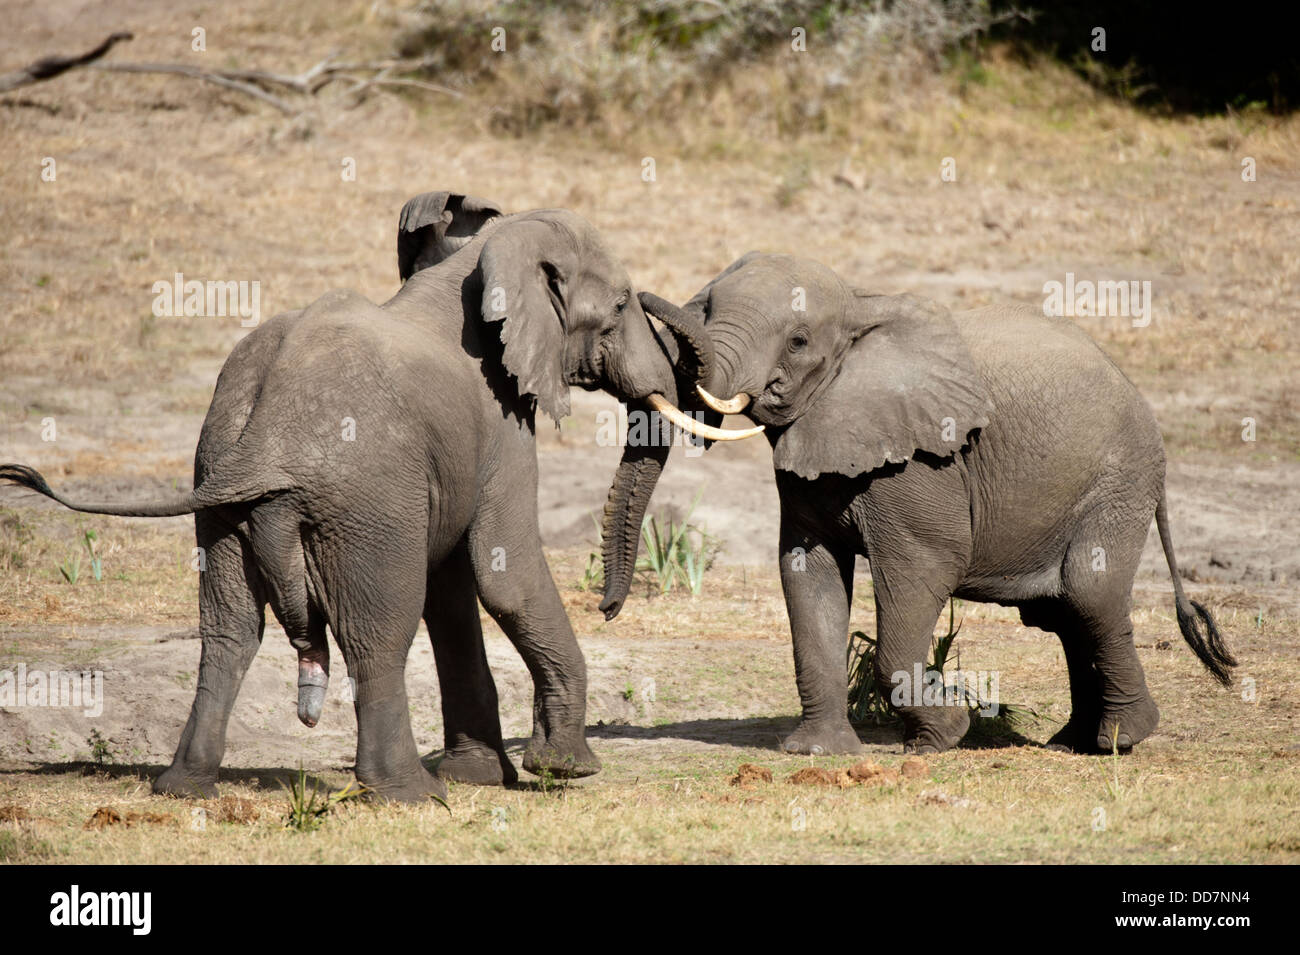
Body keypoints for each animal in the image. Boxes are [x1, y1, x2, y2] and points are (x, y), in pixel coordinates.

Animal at [0, 192, 749, 801]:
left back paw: (186, 787)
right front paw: (563, 769)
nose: (609, 607)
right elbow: (501, 574)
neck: (477, 261)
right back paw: (408, 794)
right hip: (363, 499)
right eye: (620, 306)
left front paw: (486, 776)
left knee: (228, 631)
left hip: (224, 490)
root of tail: (266, 433)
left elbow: (453, 593)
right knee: (379, 630)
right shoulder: (502, 423)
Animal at [599, 252, 1237, 757]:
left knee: (1089, 593)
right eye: (705, 310)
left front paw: (941, 738)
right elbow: (808, 573)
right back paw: (1072, 742)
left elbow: (924, 568)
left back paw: (1120, 739)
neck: (860, 306)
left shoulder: (924, 464)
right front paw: (816, 753)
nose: (607, 610)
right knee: (1059, 613)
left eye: (798, 342)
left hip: (1118, 478)